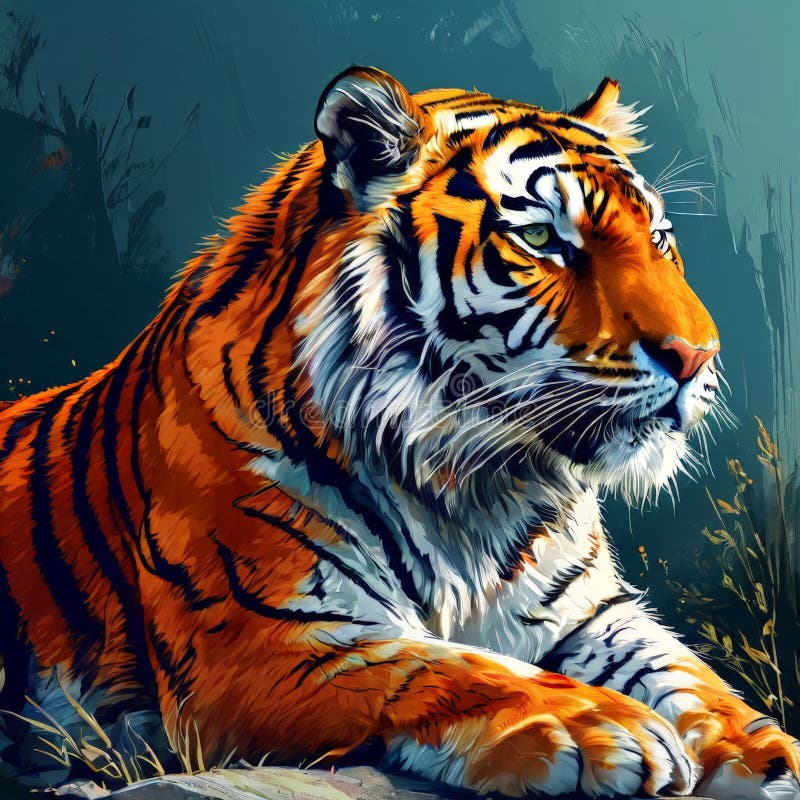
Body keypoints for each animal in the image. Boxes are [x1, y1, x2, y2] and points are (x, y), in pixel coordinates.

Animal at [0, 65, 798, 798]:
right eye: (543, 238)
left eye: (659, 238)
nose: (698, 356)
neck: (477, 487)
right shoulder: (261, 639)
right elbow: (450, 667)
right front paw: (606, 728)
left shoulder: (590, 614)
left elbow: (688, 676)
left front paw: (765, 754)